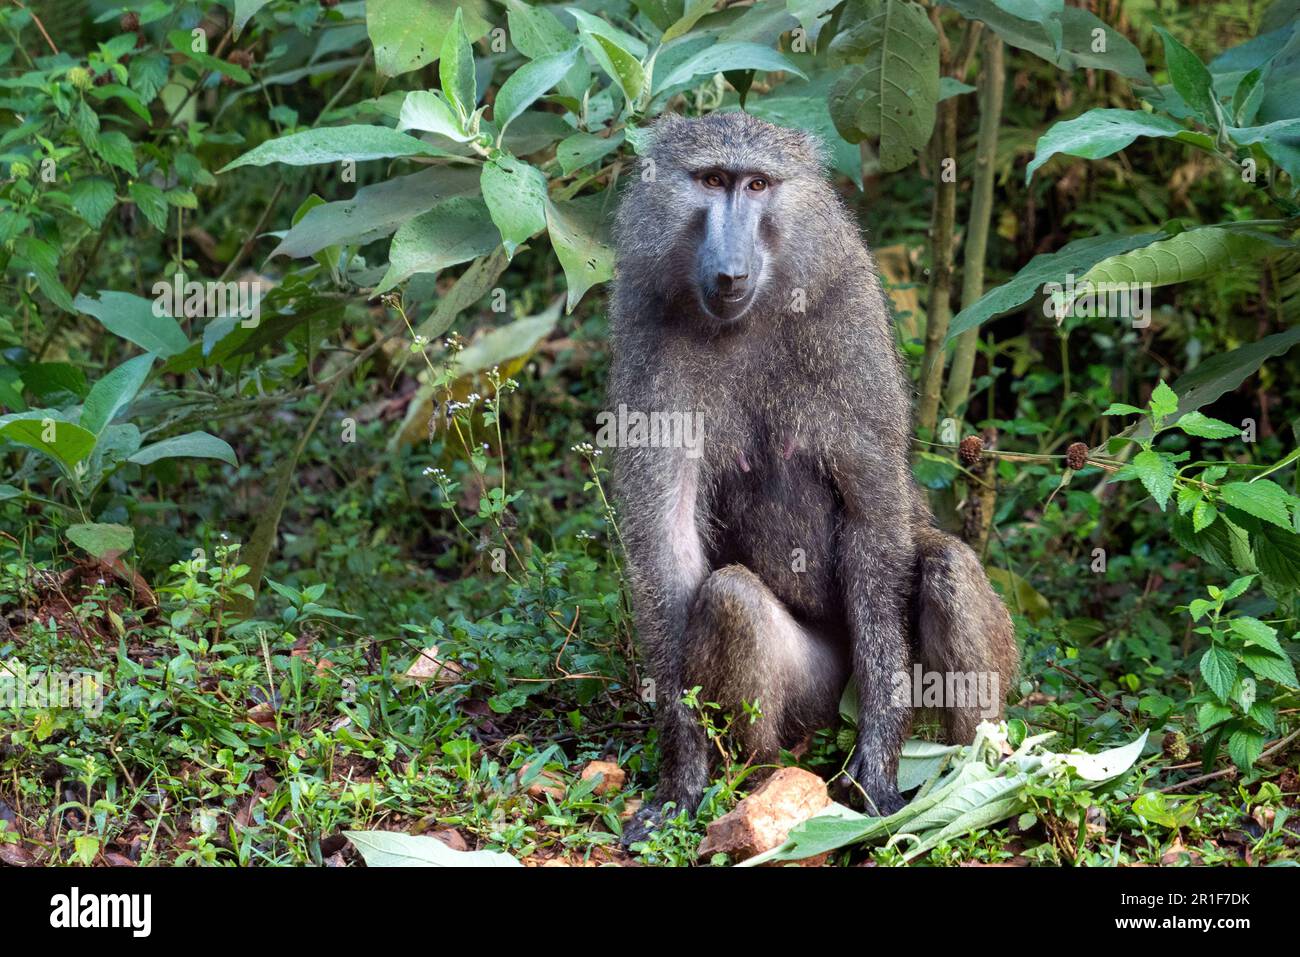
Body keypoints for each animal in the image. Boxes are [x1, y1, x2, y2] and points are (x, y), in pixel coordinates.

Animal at [606, 113, 1019, 844]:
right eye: (710, 180)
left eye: (757, 184)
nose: (730, 270)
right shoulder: (647, 335)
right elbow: (667, 546)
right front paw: (682, 776)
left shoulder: (848, 318)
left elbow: (874, 516)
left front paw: (877, 770)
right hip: (818, 692)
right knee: (732, 597)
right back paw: (759, 778)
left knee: (945, 567)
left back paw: (974, 779)